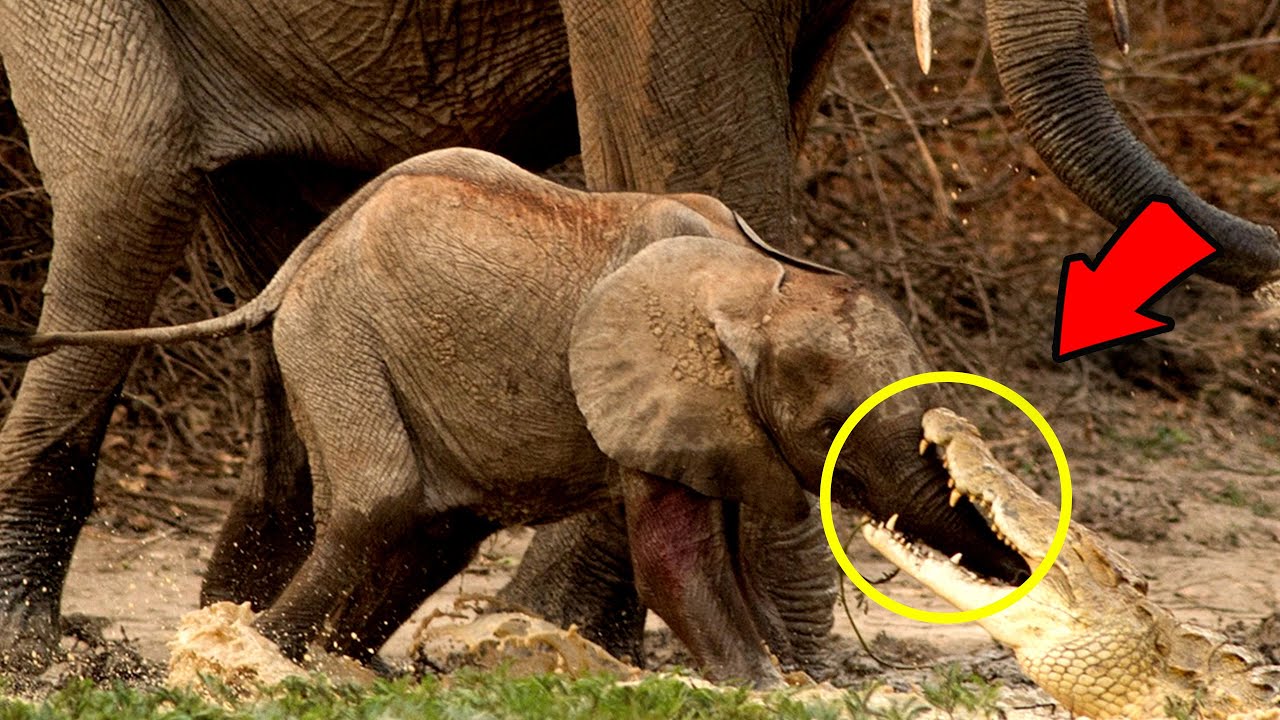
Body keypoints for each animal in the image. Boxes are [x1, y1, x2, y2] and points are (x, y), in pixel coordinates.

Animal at [0, 147, 1032, 685]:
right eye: (829, 425)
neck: (754, 280)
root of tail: (301, 260)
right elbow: (674, 557)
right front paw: (772, 689)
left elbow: (720, 547)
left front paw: (787, 681)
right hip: (339, 335)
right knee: (376, 506)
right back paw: (266, 666)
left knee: (428, 526)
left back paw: (326, 665)